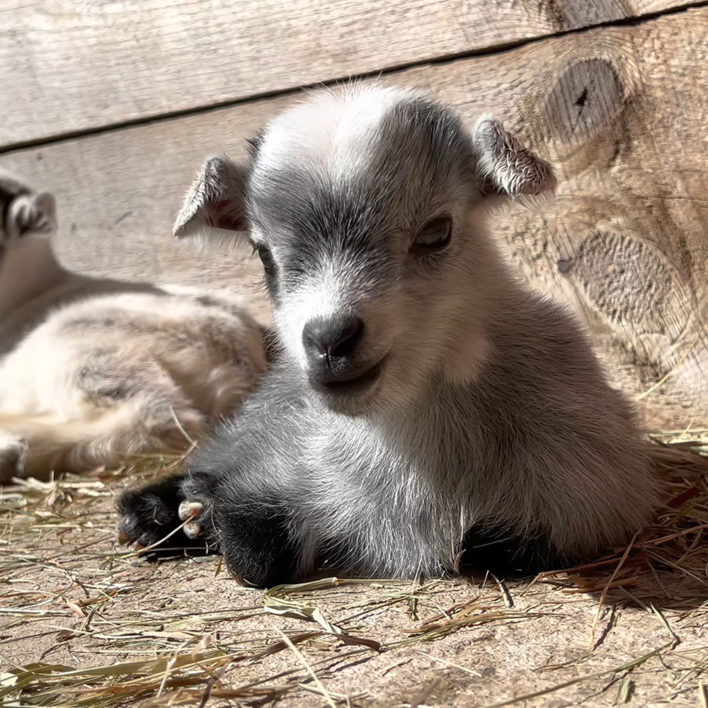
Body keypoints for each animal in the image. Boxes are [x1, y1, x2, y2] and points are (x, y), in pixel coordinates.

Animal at [117, 85, 658, 585]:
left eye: (437, 232)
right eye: (263, 253)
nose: (329, 340)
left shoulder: (596, 487)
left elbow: (494, 550)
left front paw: (203, 512)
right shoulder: (288, 464)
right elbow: (255, 554)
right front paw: (200, 510)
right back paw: (155, 512)